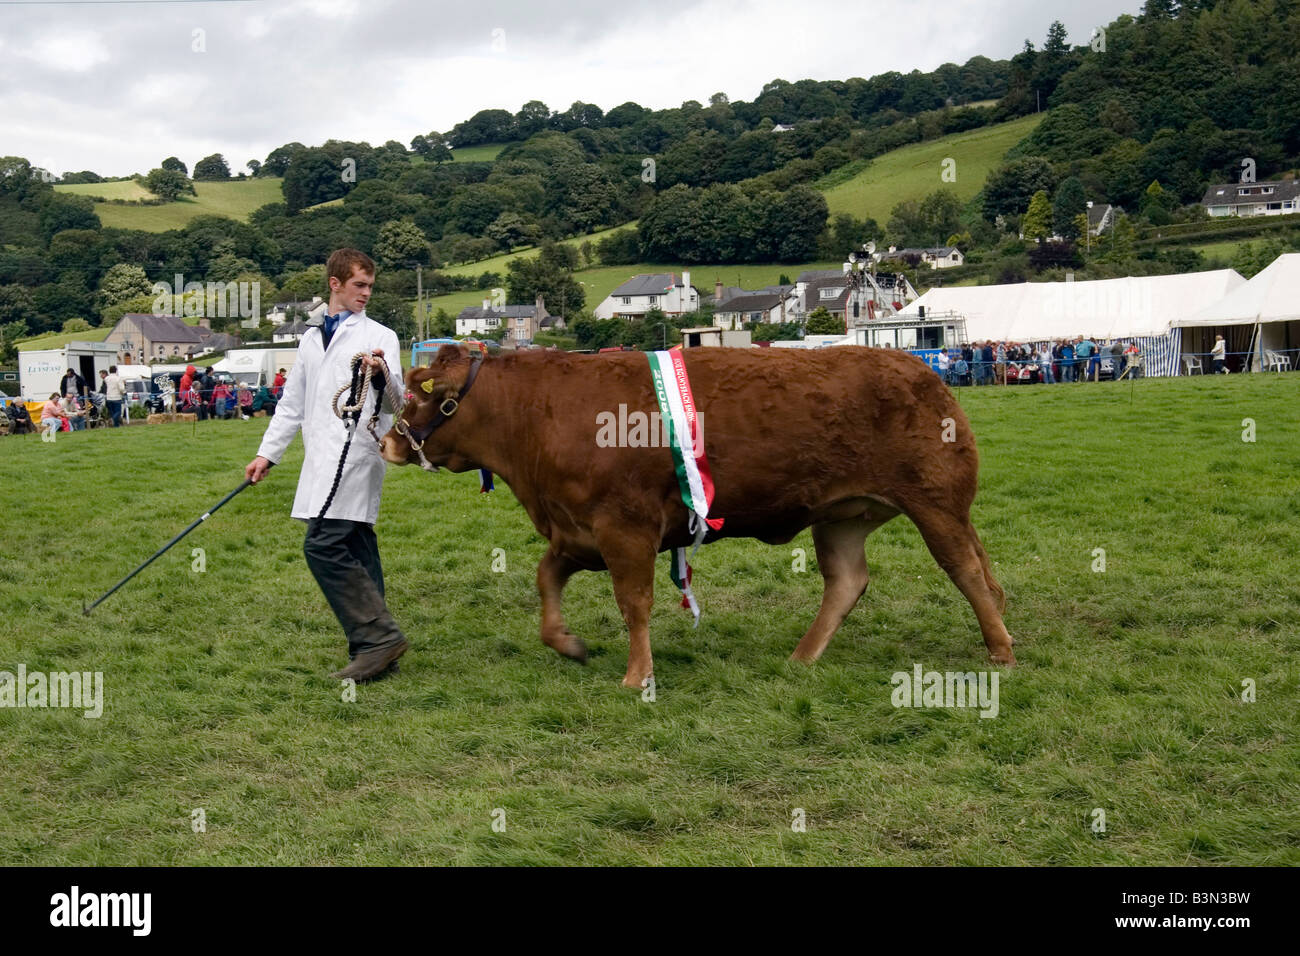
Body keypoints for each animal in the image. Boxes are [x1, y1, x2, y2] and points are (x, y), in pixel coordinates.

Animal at [380, 344, 1015, 688]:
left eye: (424, 394)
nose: (388, 439)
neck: (537, 418)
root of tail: (924, 371)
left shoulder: (625, 525)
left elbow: (633, 602)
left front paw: (637, 675)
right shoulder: (577, 531)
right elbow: (545, 578)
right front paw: (567, 643)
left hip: (935, 502)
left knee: (967, 571)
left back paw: (1000, 649)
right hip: (841, 516)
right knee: (848, 581)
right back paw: (802, 657)